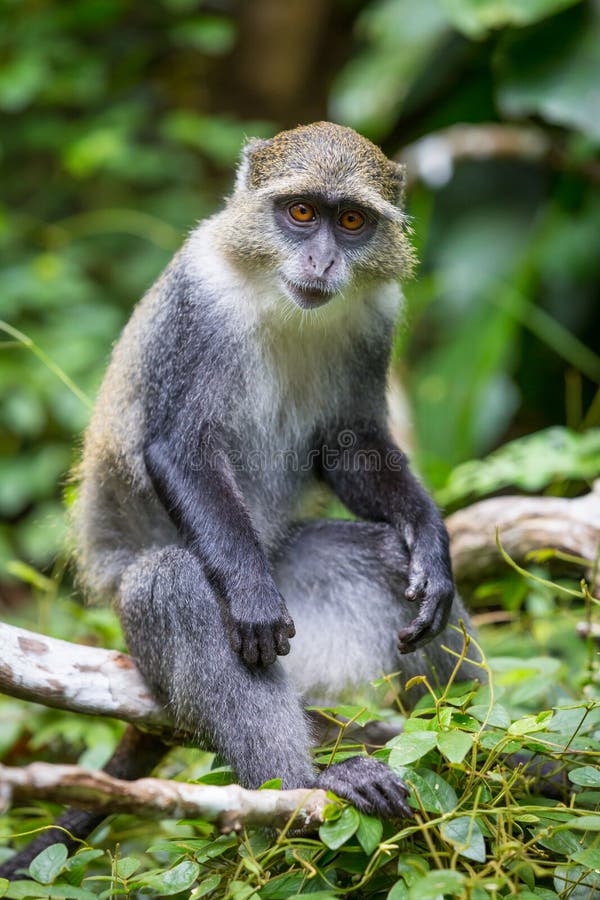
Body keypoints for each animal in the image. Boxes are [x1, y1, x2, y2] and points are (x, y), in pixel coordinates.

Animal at [0, 122, 482, 878]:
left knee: (381, 554)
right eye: (301, 213)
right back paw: (306, 783)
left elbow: (351, 445)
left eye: (351, 221)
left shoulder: (376, 317)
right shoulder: (196, 305)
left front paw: (432, 547)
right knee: (171, 584)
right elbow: (180, 448)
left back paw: (468, 739)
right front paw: (251, 598)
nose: (320, 260)